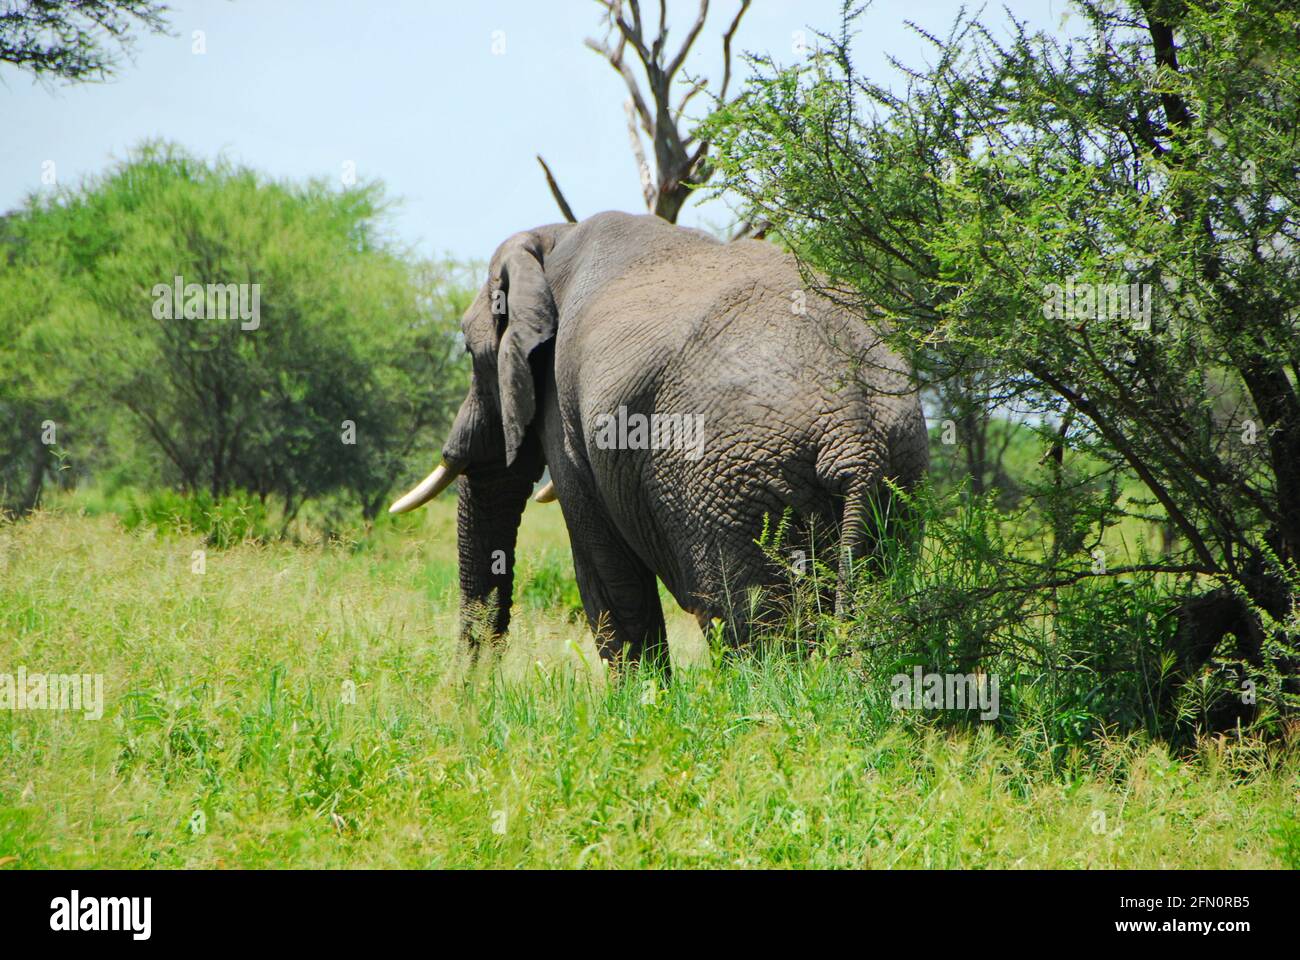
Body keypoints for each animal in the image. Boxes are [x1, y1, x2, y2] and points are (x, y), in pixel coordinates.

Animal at [391, 211, 928, 672]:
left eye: (467, 349)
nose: (469, 695)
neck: (551, 238)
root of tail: (854, 432)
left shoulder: (566, 412)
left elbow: (604, 572)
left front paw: (642, 704)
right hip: (896, 474)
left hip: (730, 482)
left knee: (754, 629)